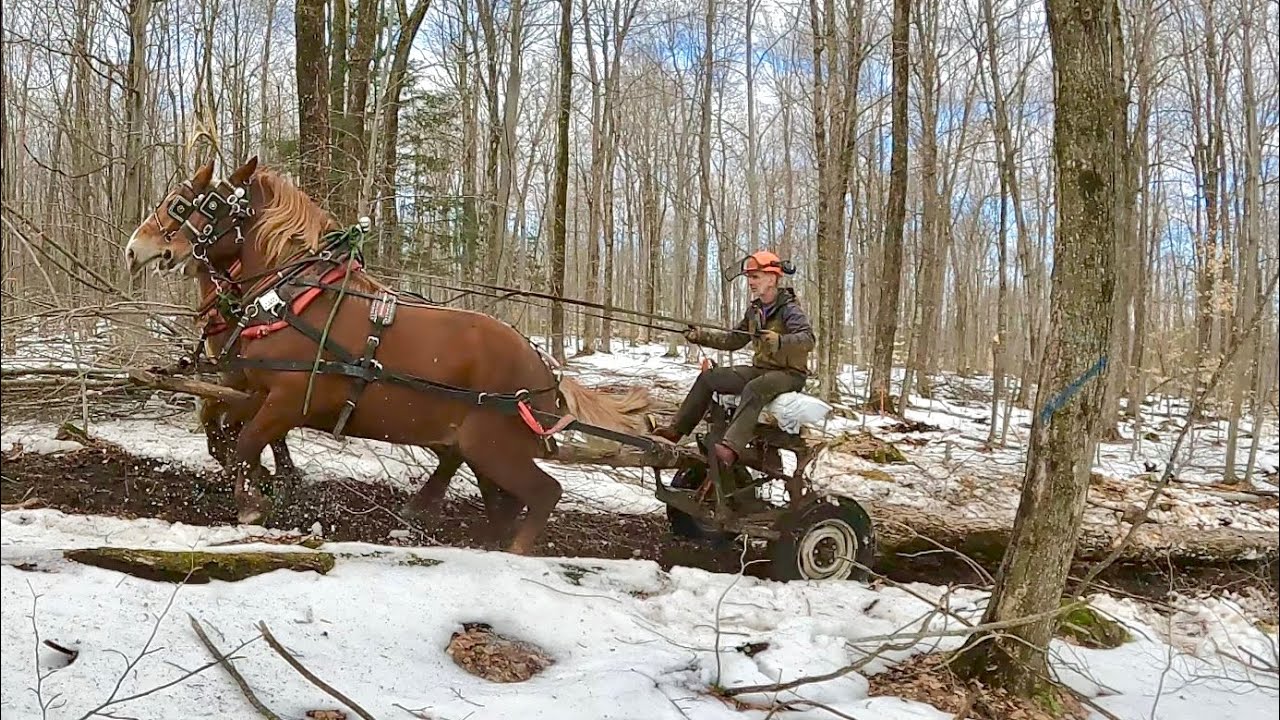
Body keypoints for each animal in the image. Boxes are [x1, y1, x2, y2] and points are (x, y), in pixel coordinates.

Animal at [124, 156, 651, 554]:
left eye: (188, 204)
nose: (134, 249)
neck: (291, 298)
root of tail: (546, 367)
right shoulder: (251, 385)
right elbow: (223, 433)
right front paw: (272, 486)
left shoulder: (287, 400)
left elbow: (245, 443)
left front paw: (255, 503)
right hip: (477, 446)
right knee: (497, 497)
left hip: (493, 447)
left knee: (544, 493)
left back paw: (510, 551)